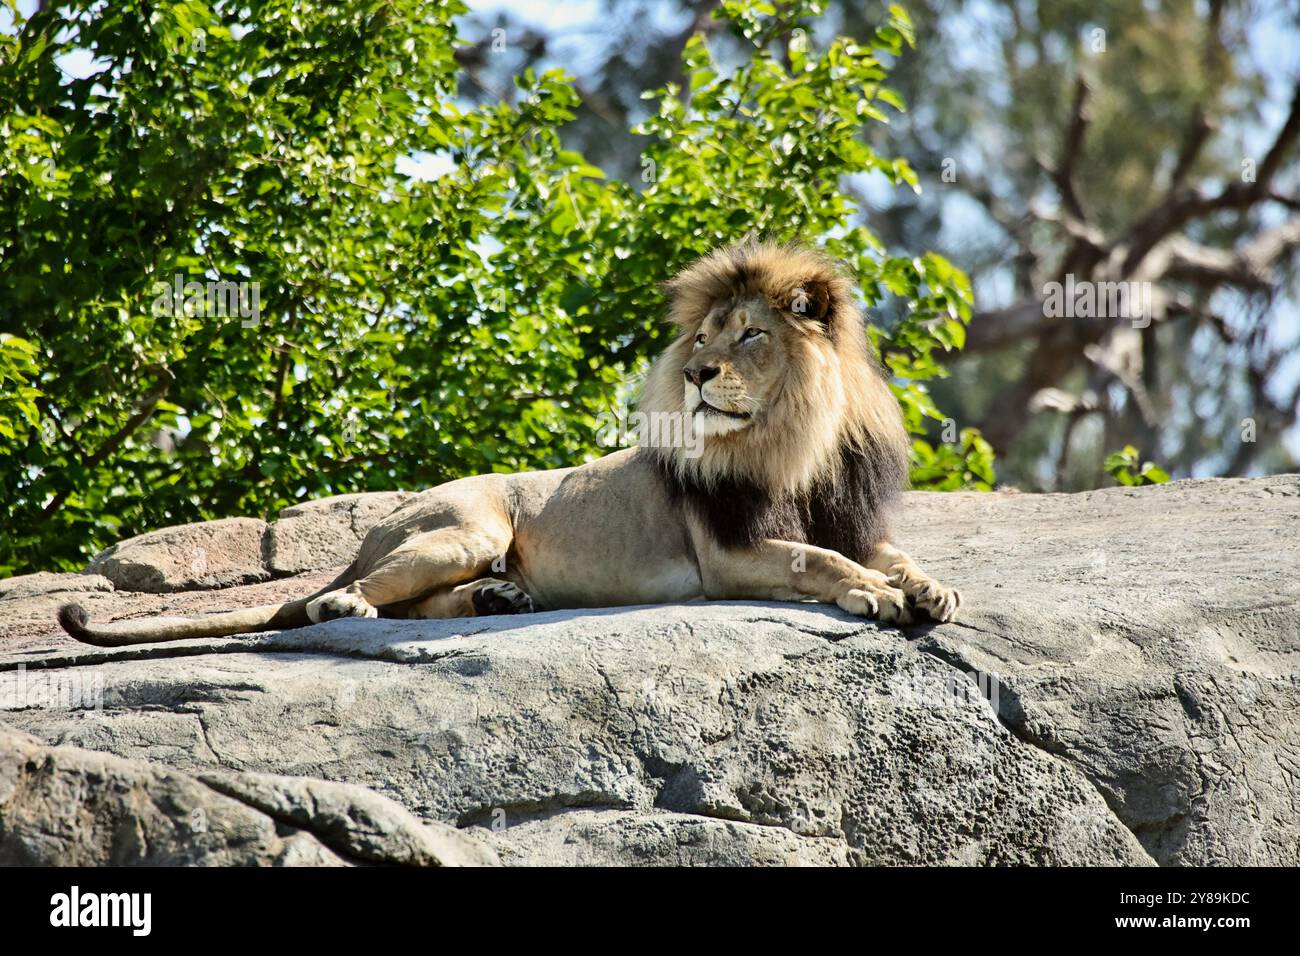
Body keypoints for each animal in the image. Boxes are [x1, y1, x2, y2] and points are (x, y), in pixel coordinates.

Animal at [58, 242, 960, 647]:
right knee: (326, 602)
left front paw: (928, 588)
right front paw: (876, 596)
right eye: (703, 336)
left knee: (414, 604)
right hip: (466, 526)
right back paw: (353, 603)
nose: (696, 373)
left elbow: (885, 552)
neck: (794, 441)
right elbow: (822, 563)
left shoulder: (850, 514)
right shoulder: (728, 555)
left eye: (750, 335)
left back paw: (498, 600)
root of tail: (373, 533)